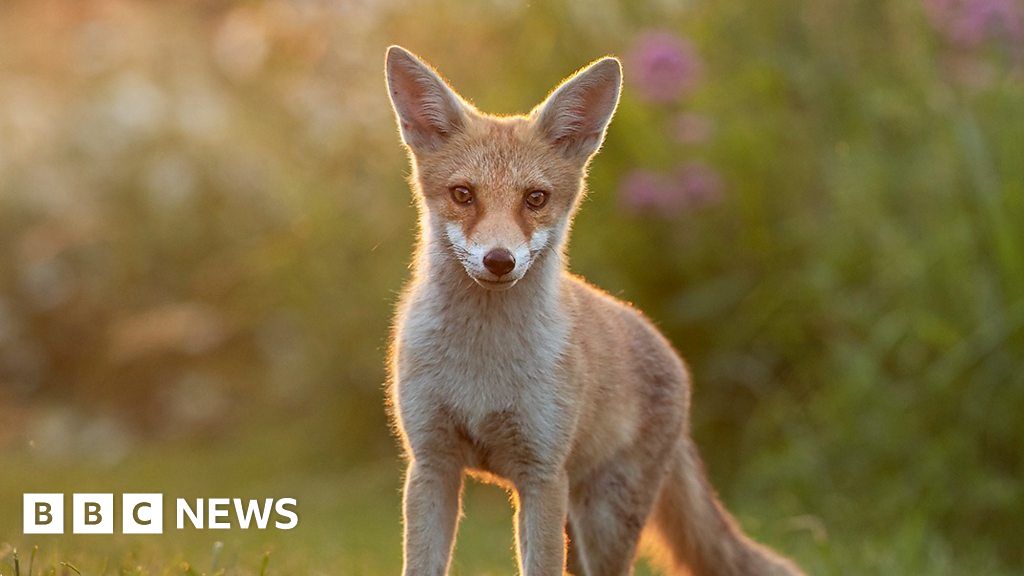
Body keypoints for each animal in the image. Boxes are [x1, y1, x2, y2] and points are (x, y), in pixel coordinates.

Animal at [384, 45, 804, 576]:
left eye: (535, 198)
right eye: (463, 194)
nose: (499, 261)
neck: (482, 368)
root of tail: (667, 348)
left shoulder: (542, 475)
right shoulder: (432, 466)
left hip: (602, 521)